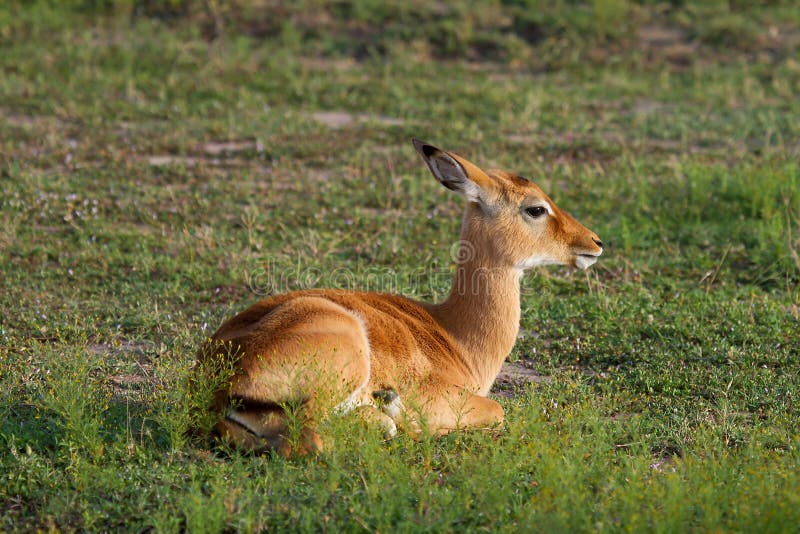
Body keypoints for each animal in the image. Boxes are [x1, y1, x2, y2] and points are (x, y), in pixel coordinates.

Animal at [199, 139, 603, 456]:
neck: (455, 337)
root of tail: (219, 374)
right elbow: (496, 411)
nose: (595, 242)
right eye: (535, 208)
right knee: (311, 441)